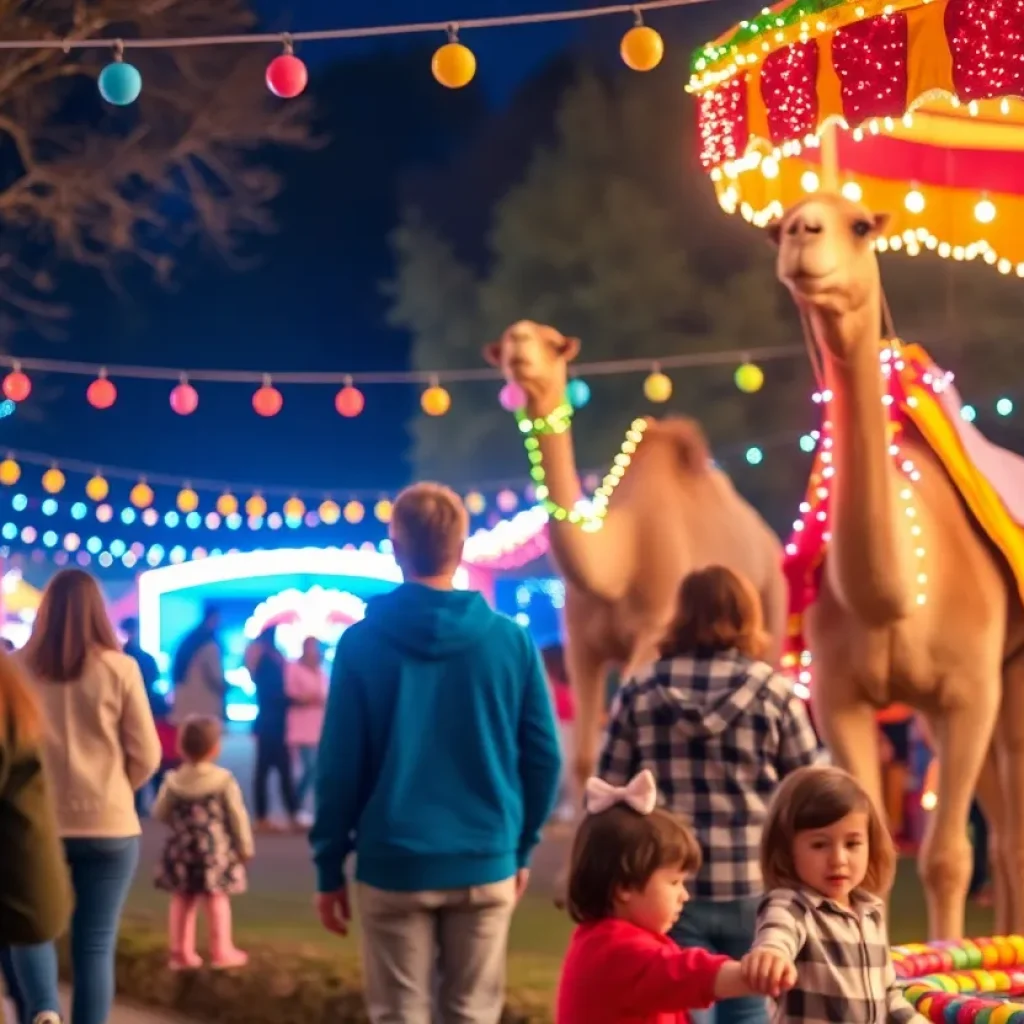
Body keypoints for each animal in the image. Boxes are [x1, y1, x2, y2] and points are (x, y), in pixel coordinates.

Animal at [483, 321, 786, 798]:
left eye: (552, 344)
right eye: (508, 340)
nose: (519, 349)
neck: (617, 561)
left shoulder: (653, 630)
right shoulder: (579, 647)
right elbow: (584, 760)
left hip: (774, 602)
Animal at [770, 190, 1024, 937]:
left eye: (859, 225)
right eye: (780, 223)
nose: (802, 236)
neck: (899, 593)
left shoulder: (968, 690)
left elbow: (946, 857)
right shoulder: (839, 696)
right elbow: (870, 839)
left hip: (1008, 680)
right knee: (1004, 828)